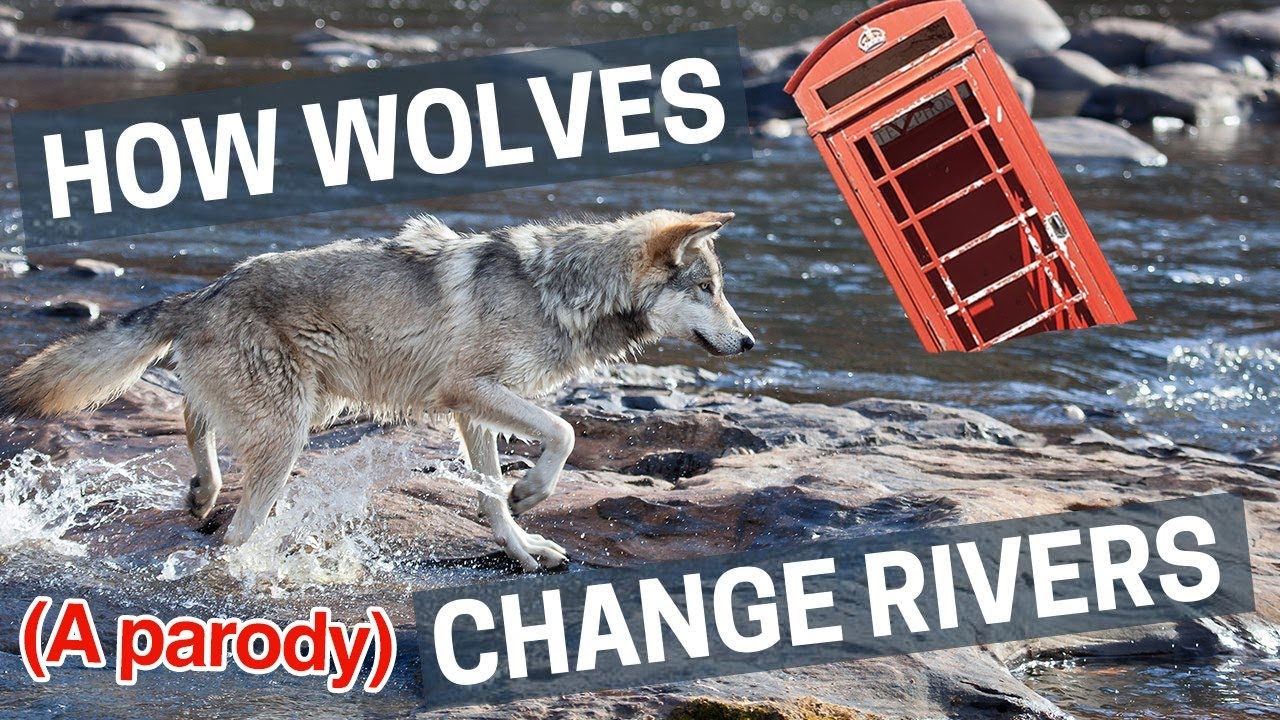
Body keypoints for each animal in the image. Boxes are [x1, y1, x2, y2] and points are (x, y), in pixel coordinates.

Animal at [1, 210, 754, 570]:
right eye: (708, 289)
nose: (749, 343)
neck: (563, 290)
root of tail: (203, 292)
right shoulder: (471, 391)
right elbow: (564, 435)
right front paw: (532, 494)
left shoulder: (473, 413)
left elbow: (493, 500)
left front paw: (522, 545)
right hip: (291, 431)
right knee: (236, 526)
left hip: (313, 407)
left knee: (194, 415)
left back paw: (200, 493)